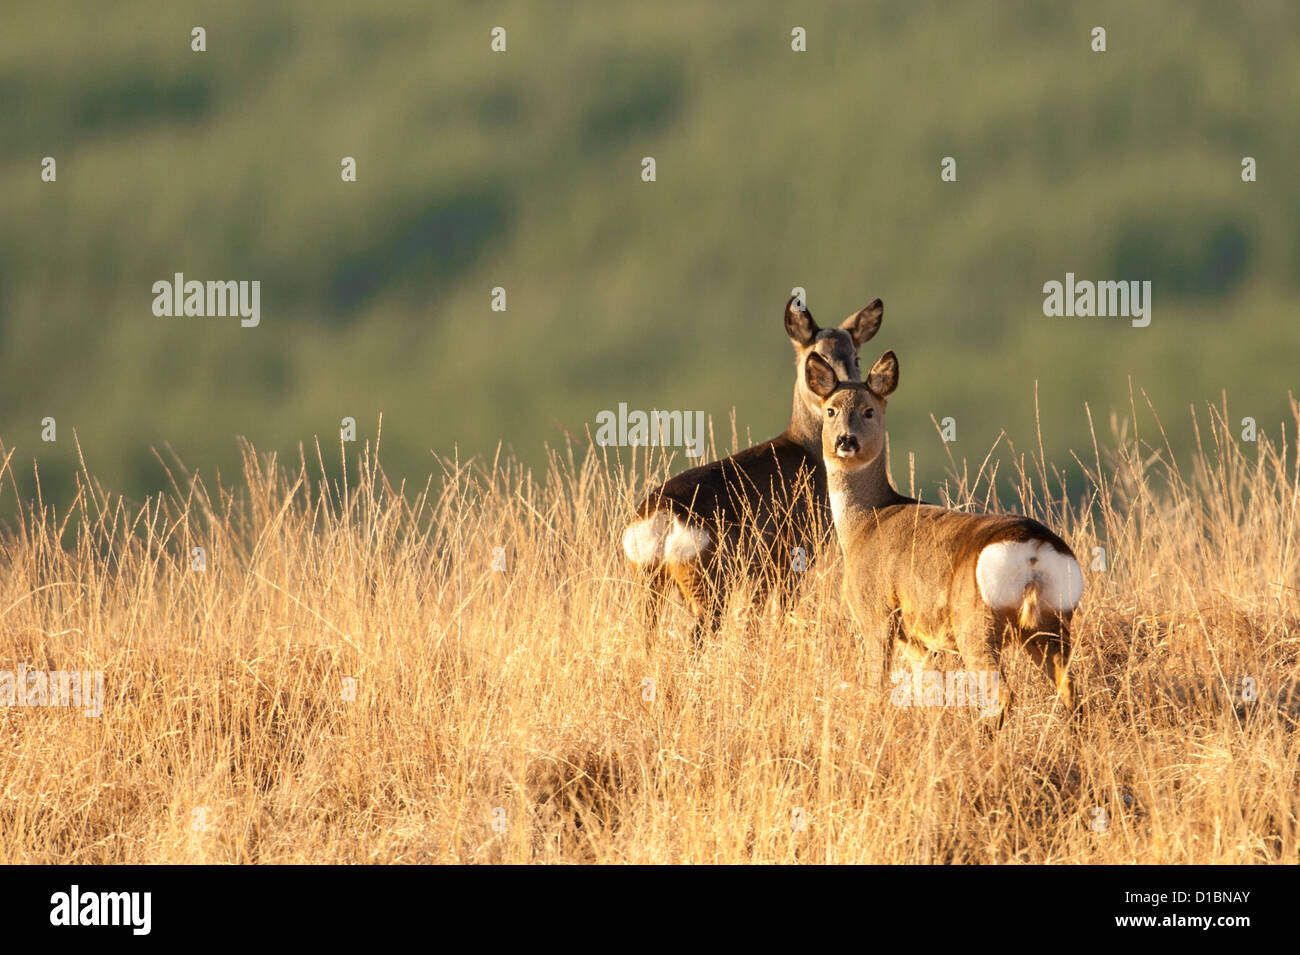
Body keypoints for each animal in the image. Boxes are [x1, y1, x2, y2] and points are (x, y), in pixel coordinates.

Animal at [622, 295, 884, 644]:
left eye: (856, 356)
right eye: (817, 357)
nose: (843, 388)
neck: (806, 450)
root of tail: (659, 516)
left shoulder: (762, 570)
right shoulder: (792, 553)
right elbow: (780, 615)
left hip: (645, 581)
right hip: (708, 580)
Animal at [803, 349, 1084, 726]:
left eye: (868, 410)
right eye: (831, 410)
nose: (845, 441)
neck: (864, 522)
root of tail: (1033, 554)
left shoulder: (875, 612)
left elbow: (876, 686)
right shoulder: (918, 642)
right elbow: (930, 693)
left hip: (976, 624)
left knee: (1003, 694)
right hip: (1053, 624)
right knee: (1071, 691)